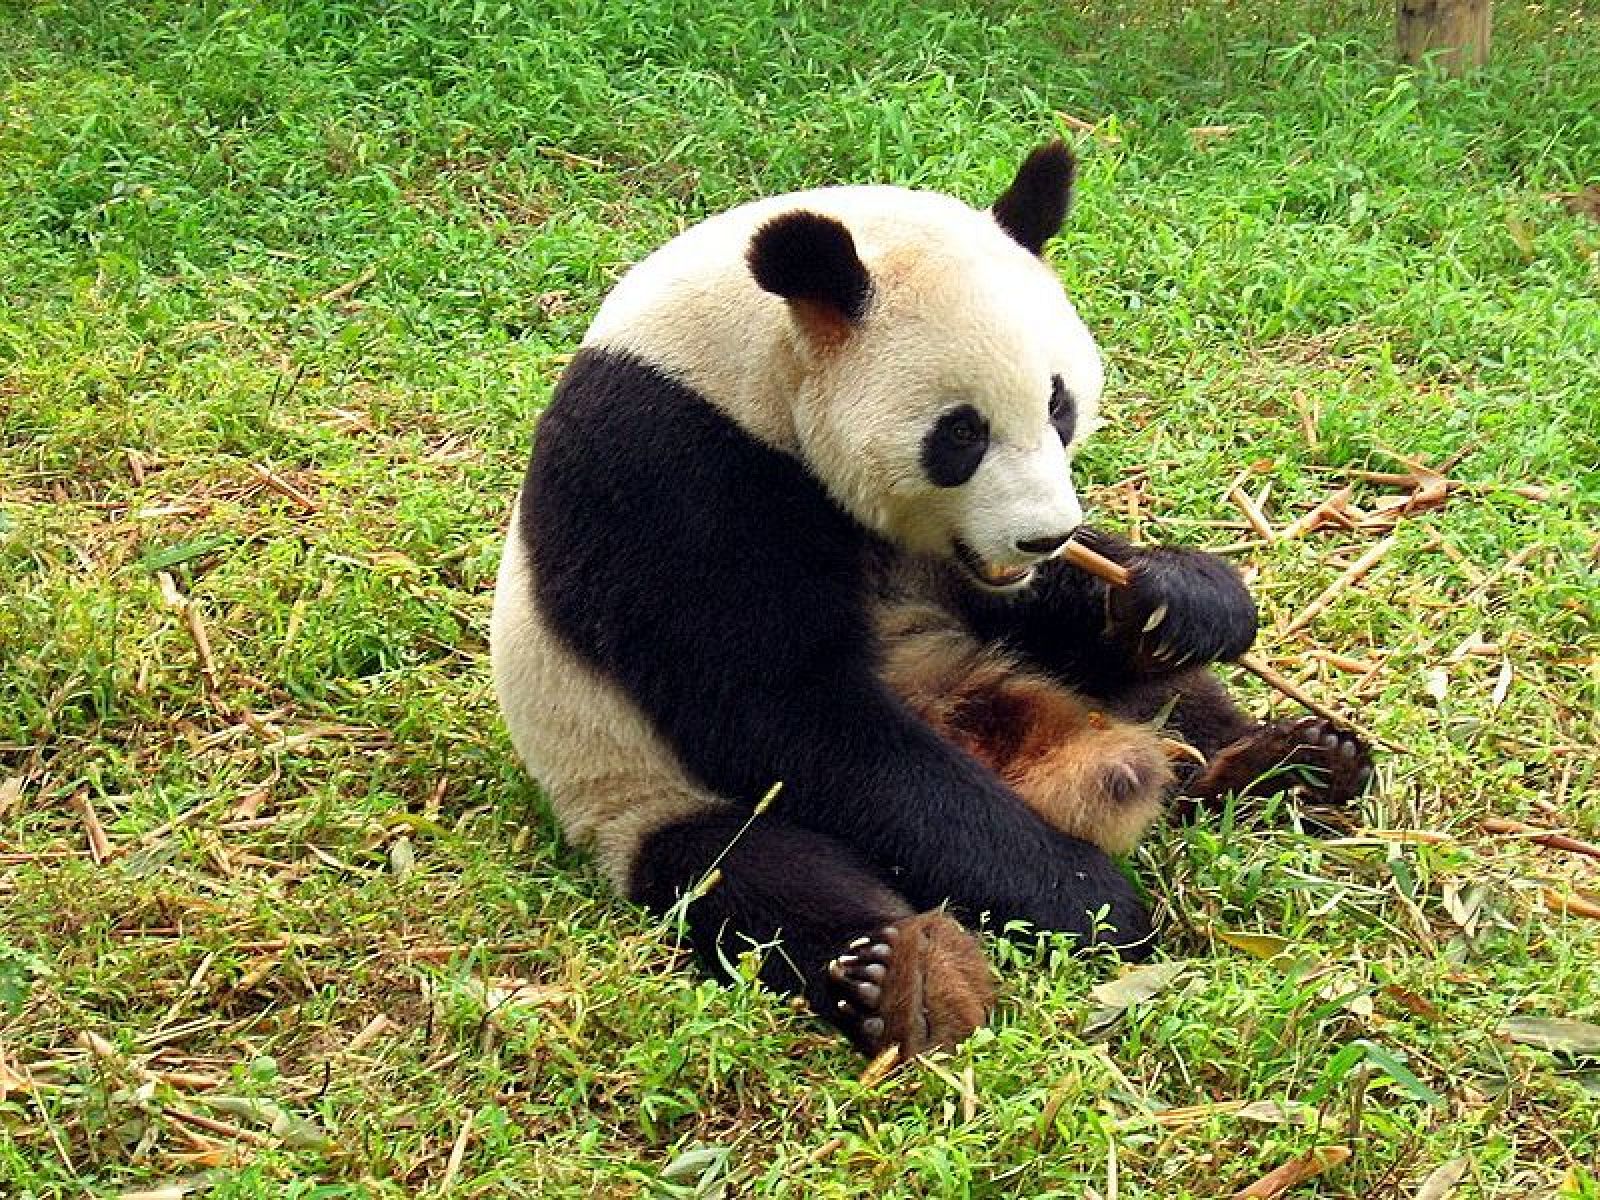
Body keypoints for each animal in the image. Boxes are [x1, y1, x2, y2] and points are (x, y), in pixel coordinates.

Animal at [490, 142, 1373, 1058]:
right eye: (962, 433)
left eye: (1059, 405)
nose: (1045, 537)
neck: (744, 363)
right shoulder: (670, 466)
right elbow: (780, 711)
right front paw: (1090, 899)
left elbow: (1047, 608)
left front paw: (1184, 599)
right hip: (631, 784)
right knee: (756, 874)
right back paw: (904, 980)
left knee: (1168, 701)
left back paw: (1289, 762)